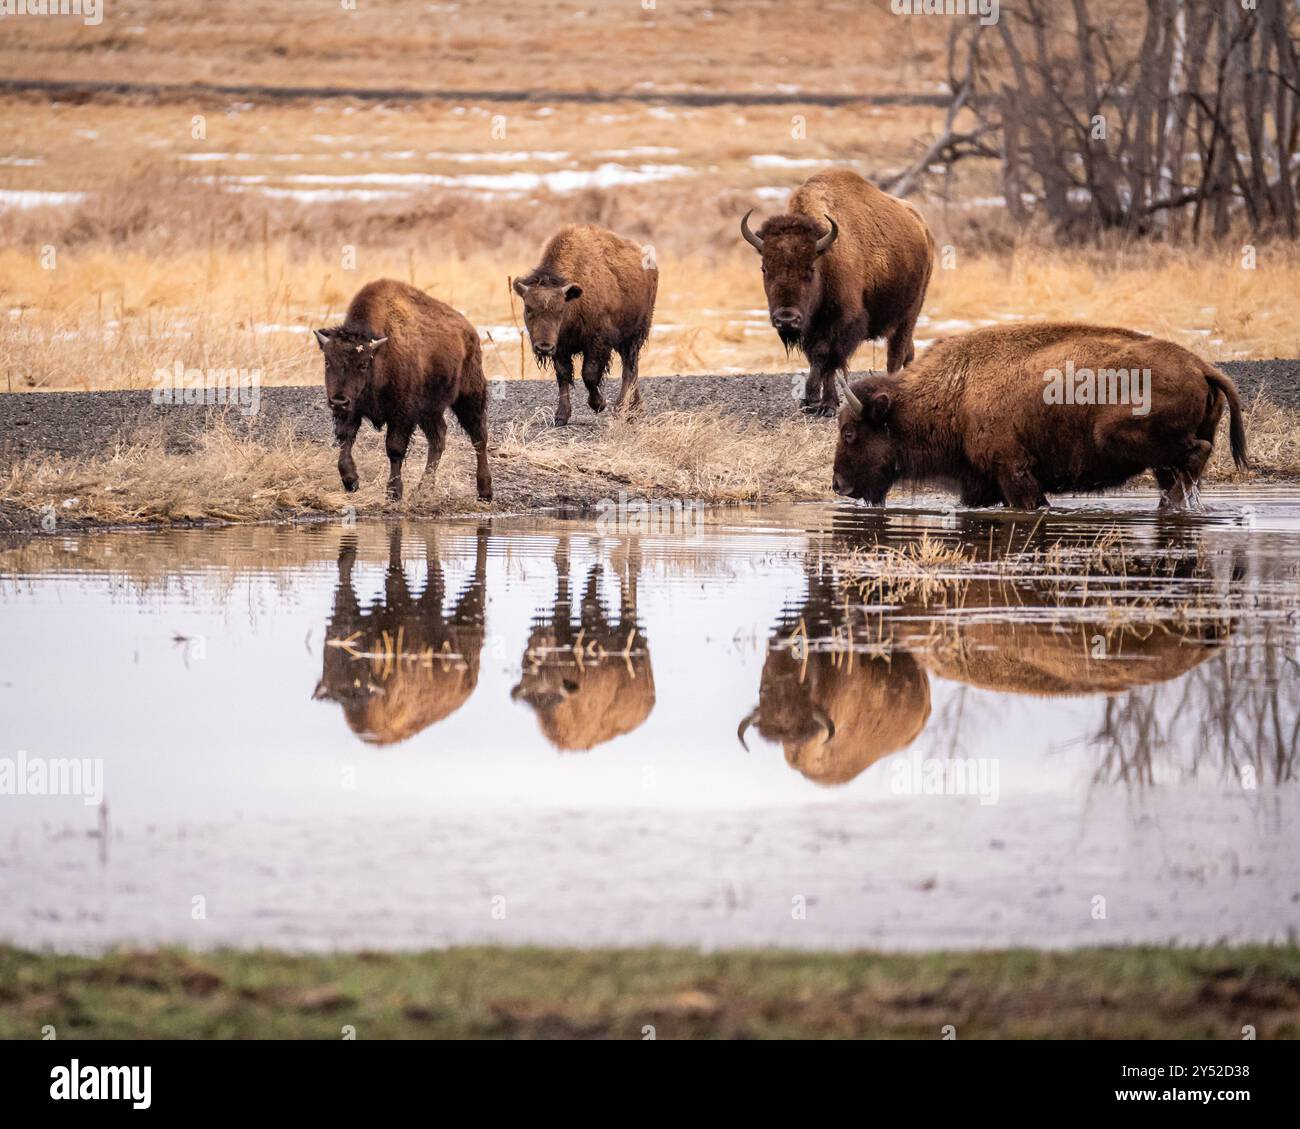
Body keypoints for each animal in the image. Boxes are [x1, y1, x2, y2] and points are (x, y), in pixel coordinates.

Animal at [314, 279, 491, 501]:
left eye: (363, 364)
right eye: (327, 362)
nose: (338, 401)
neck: (379, 355)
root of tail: (470, 332)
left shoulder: (402, 413)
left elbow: (394, 448)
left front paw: (394, 492)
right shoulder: (351, 410)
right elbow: (345, 440)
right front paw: (350, 481)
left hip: (469, 397)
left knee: (479, 437)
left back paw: (485, 491)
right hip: (429, 410)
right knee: (438, 438)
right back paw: (424, 489)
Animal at [513, 223, 658, 425]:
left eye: (560, 310)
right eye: (528, 309)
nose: (543, 347)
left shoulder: (598, 342)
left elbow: (589, 374)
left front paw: (598, 404)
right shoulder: (560, 347)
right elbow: (564, 375)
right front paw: (561, 416)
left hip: (635, 334)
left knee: (629, 369)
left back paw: (620, 409)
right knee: (632, 368)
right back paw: (634, 410)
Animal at [741, 168, 934, 413]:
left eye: (811, 268)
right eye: (765, 268)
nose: (786, 319)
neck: (826, 256)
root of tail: (922, 228)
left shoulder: (841, 323)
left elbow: (827, 358)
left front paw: (821, 402)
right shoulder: (811, 327)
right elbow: (819, 359)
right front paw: (819, 402)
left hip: (909, 314)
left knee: (895, 355)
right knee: (907, 351)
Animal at [833, 322, 1248, 509]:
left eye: (850, 433)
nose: (838, 485)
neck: (957, 388)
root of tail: (1200, 367)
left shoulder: (1015, 471)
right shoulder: (980, 484)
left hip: (1122, 436)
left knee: (1197, 452)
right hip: (1159, 457)